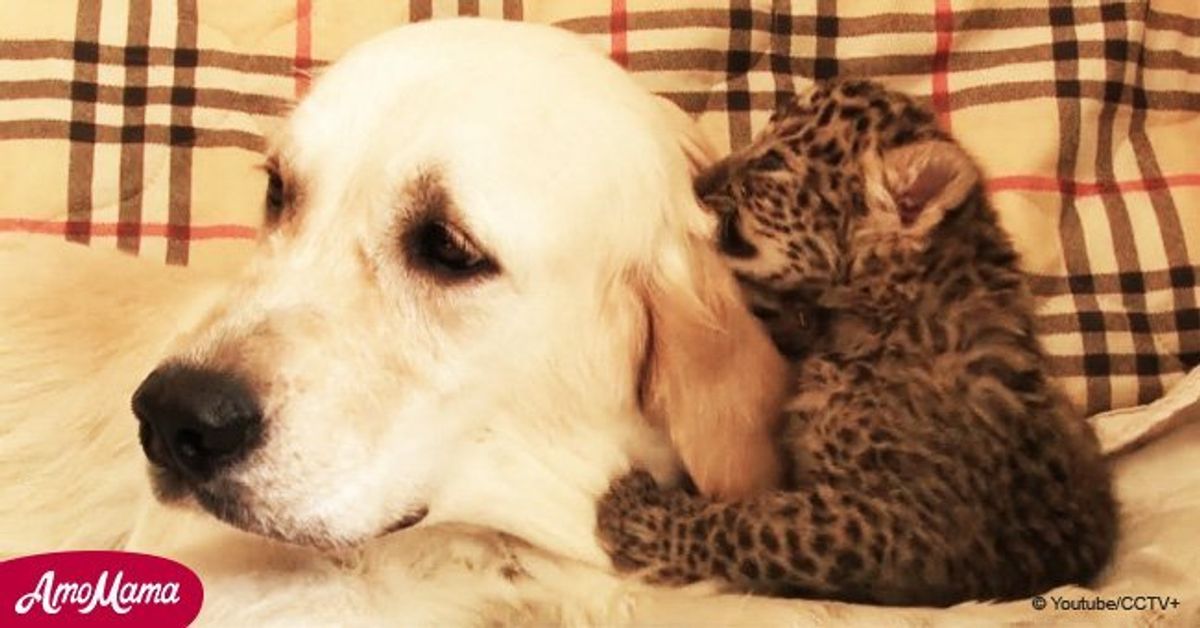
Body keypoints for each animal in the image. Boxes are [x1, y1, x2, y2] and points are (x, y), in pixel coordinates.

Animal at [596, 79, 1117, 606]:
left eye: (772, 164)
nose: (697, 183)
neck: (895, 311)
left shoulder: (895, 524)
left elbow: (760, 531)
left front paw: (639, 515)